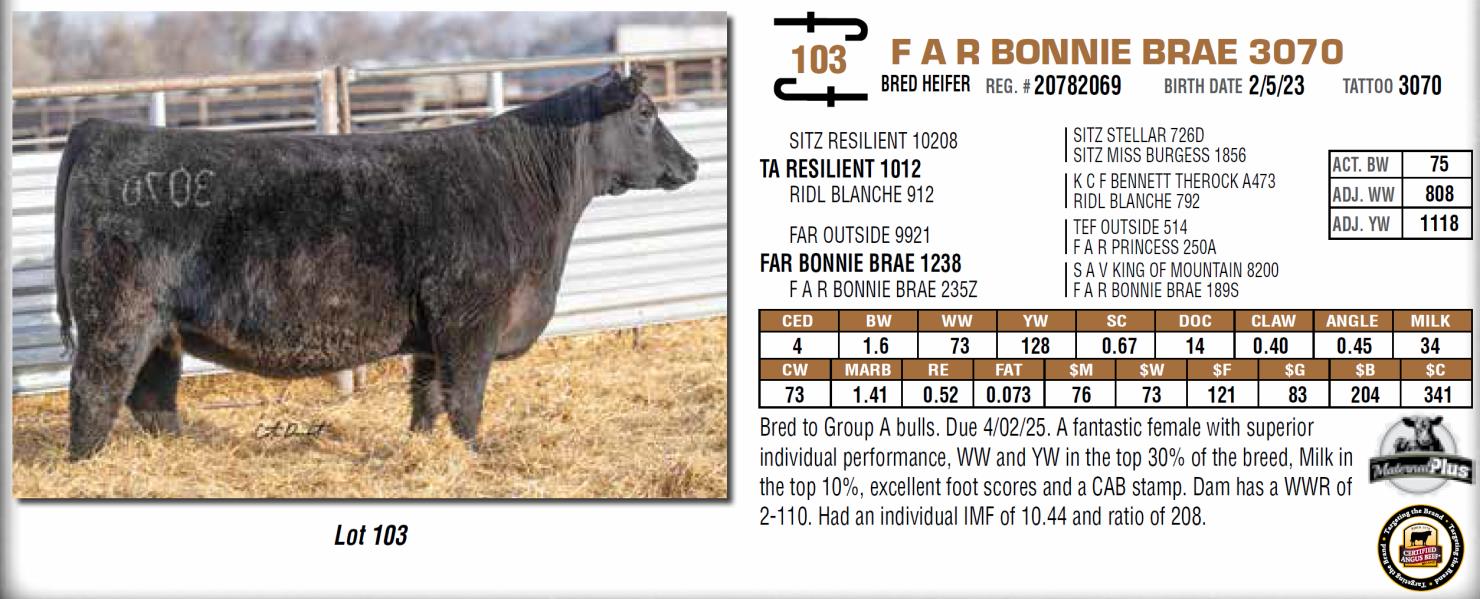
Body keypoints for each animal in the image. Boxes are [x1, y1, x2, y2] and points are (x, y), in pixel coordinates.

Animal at [53, 69, 698, 460]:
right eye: (645, 112)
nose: (691, 164)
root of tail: (99, 129)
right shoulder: (470, 321)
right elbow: (466, 398)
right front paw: (473, 457)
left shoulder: (434, 331)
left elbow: (427, 397)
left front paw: (428, 451)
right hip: (118, 316)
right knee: (95, 389)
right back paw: (85, 464)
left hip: (162, 327)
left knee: (152, 398)